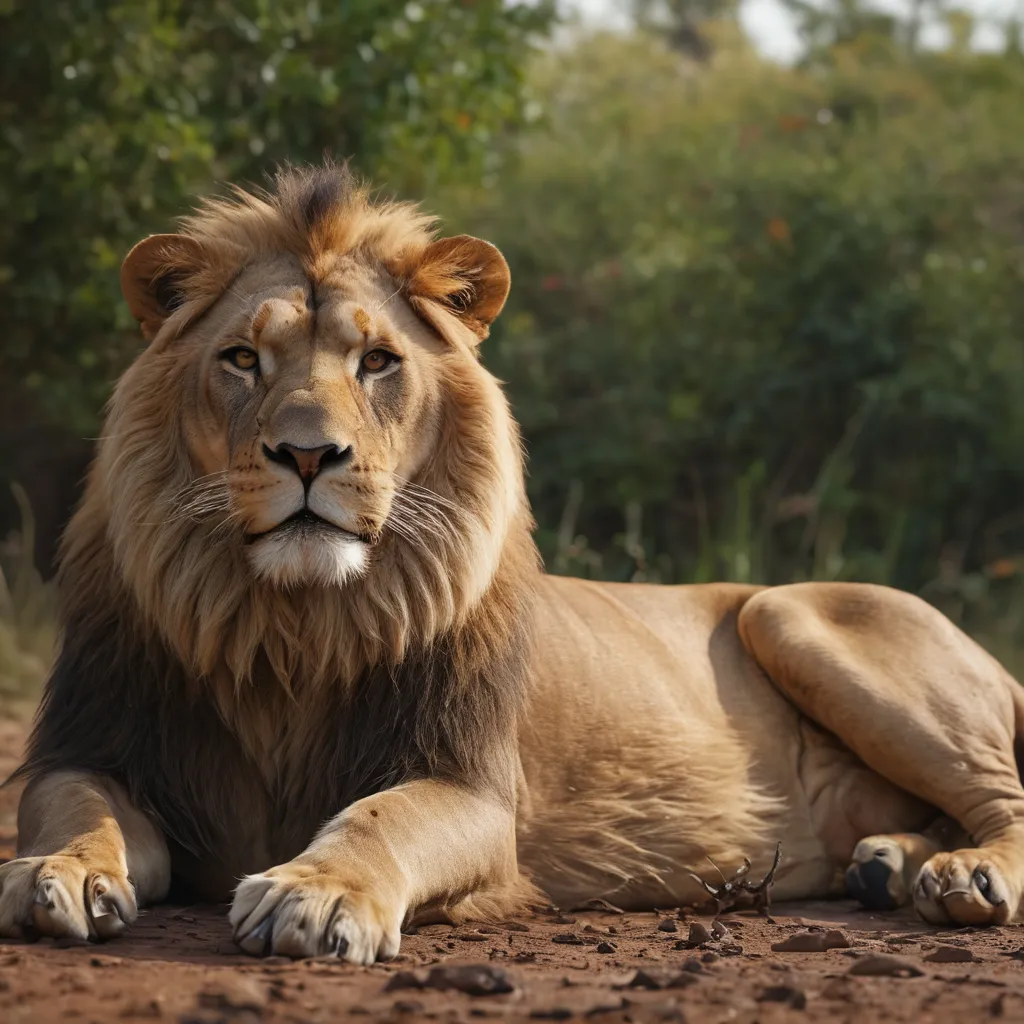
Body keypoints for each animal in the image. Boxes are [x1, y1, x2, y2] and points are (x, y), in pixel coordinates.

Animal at [4, 163, 1024, 962]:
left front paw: (316, 892)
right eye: (243, 359)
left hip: (787, 612)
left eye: (377, 361)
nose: (308, 454)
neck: (293, 624)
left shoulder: (475, 790)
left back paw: (963, 875)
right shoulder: (91, 745)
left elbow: (378, 816)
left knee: (1005, 800)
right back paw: (889, 863)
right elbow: (77, 808)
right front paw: (59, 873)